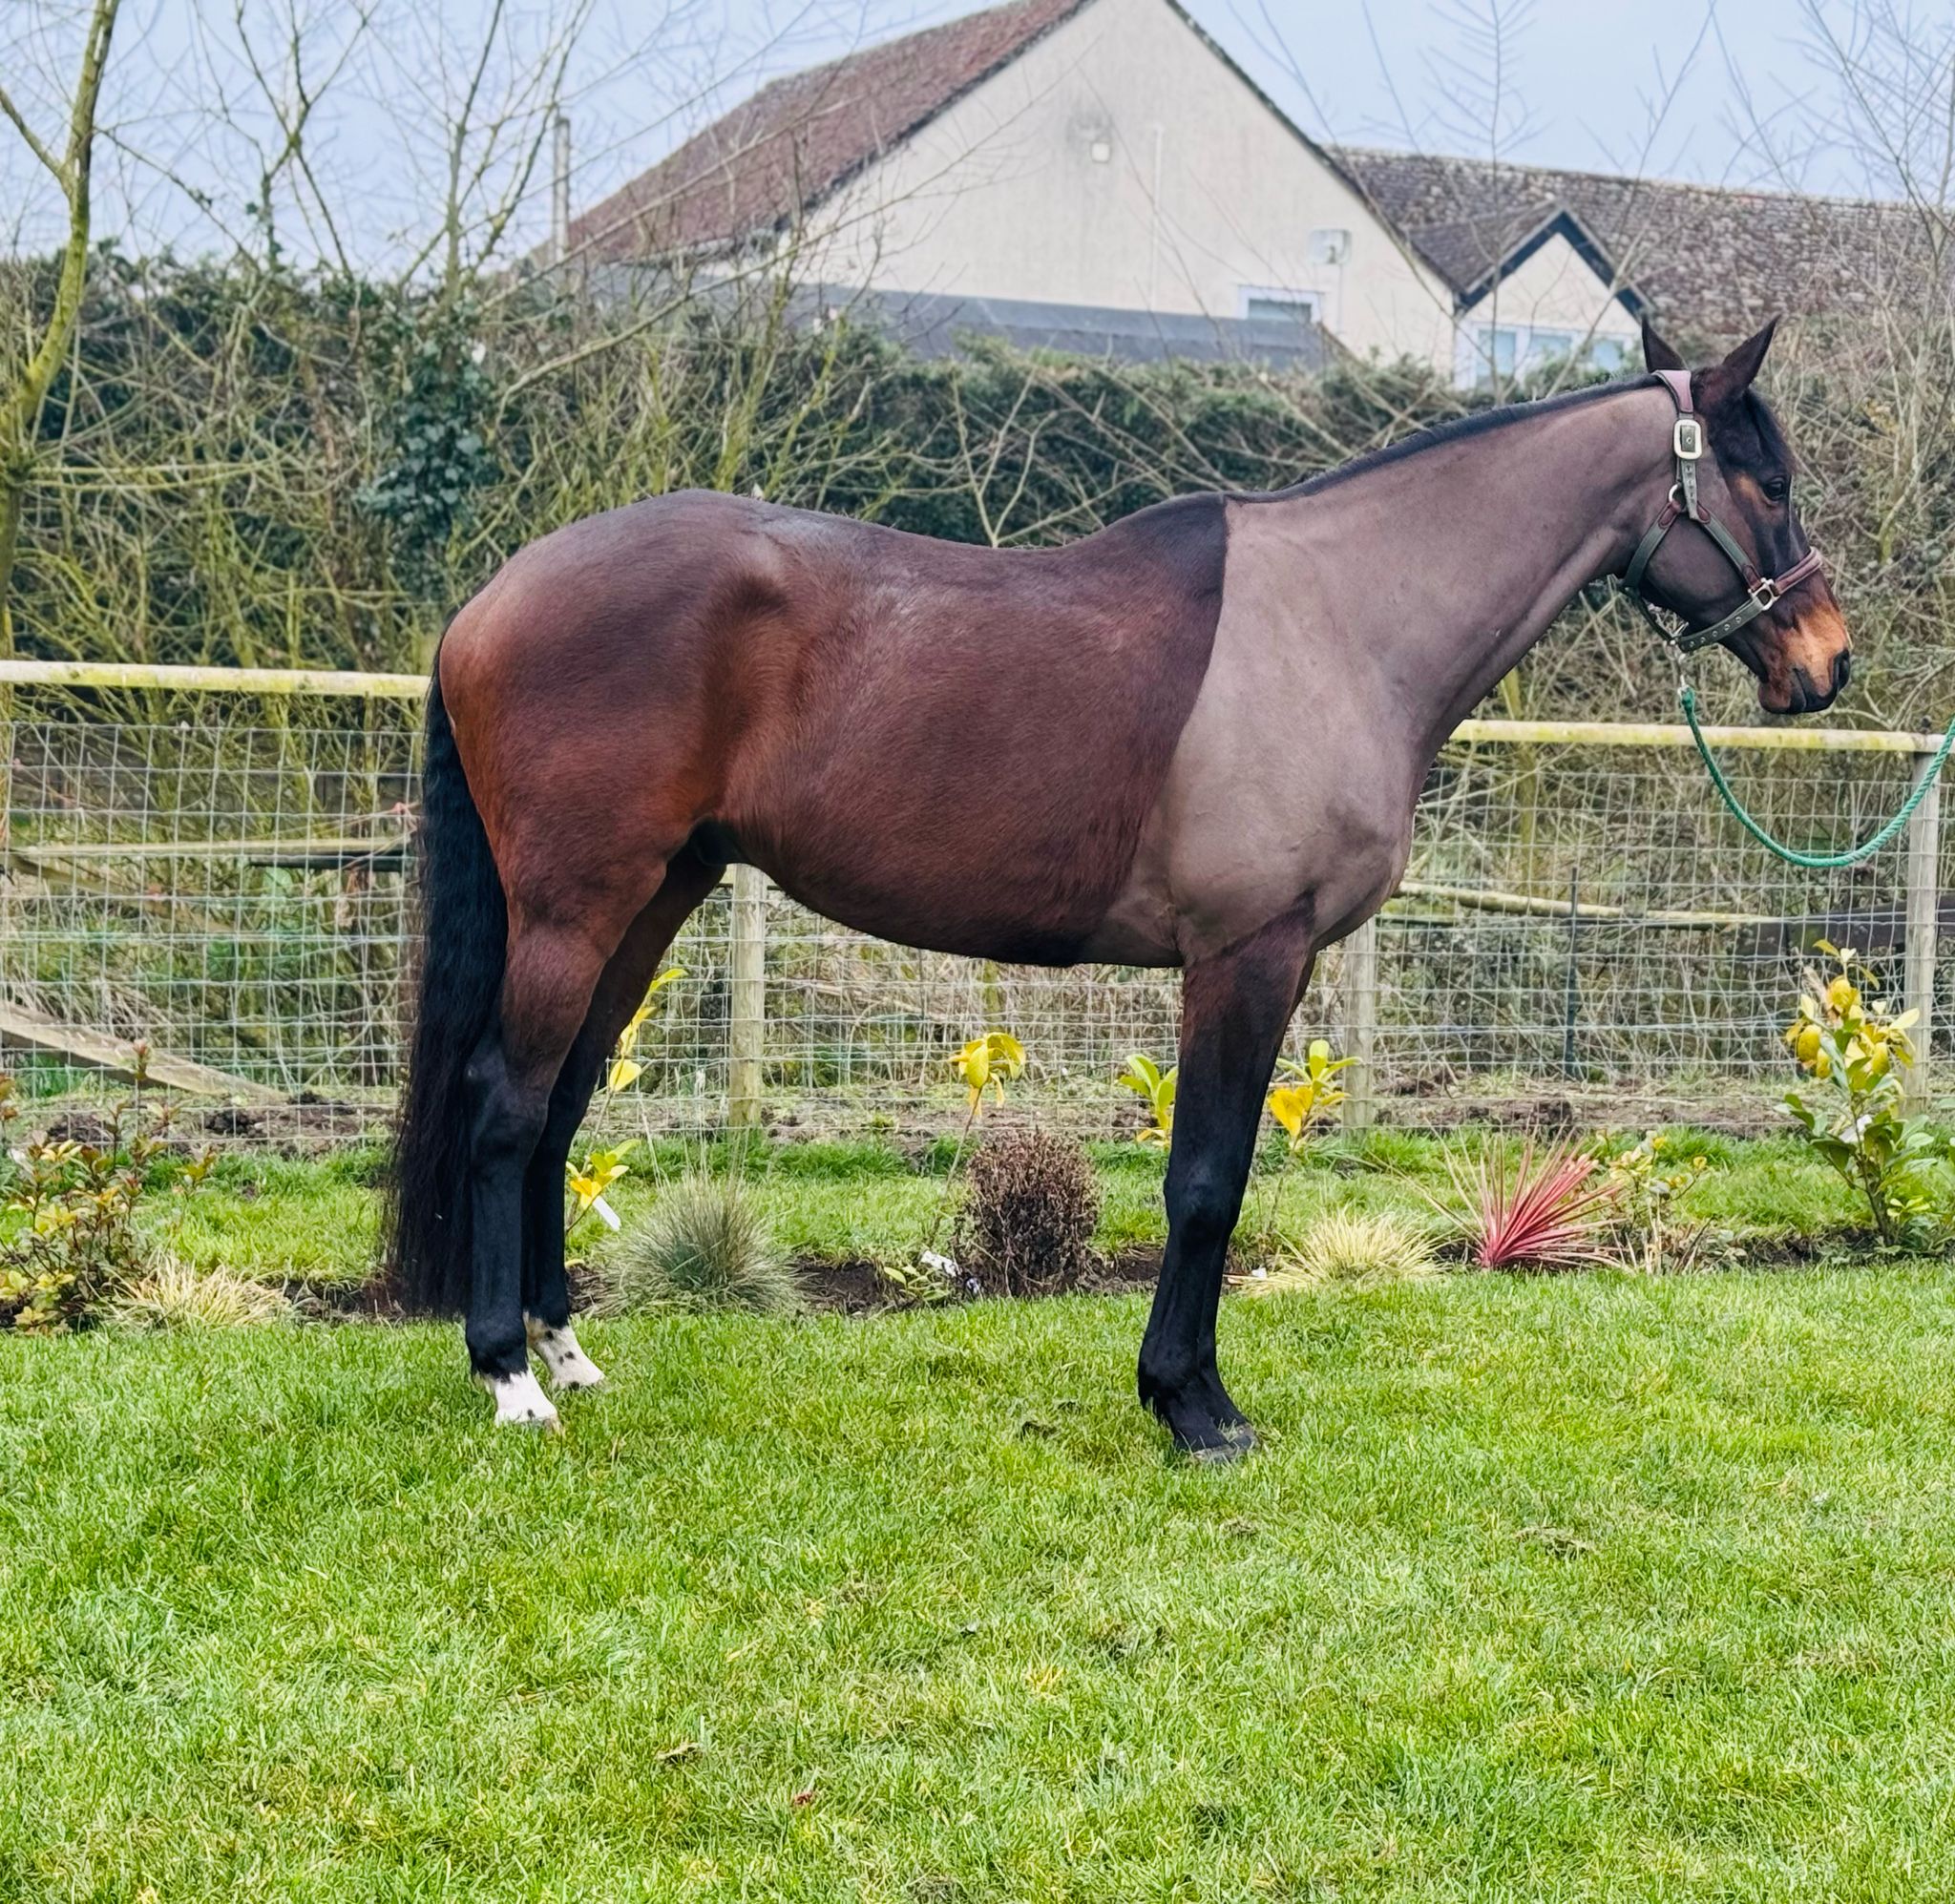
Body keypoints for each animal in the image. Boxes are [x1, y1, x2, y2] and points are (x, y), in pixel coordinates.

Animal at [385, 318, 1850, 1457]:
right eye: (1770, 480)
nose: (1826, 661)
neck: (1341, 619)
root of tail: (492, 598)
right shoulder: (1247, 955)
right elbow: (1205, 1181)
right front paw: (1190, 1406)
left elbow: (1220, 1178)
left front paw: (1185, 1389)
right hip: (578, 908)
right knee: (508, 1104)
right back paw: (510, 1378)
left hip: (652, 900)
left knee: (563, 1105)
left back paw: (566, 1350)